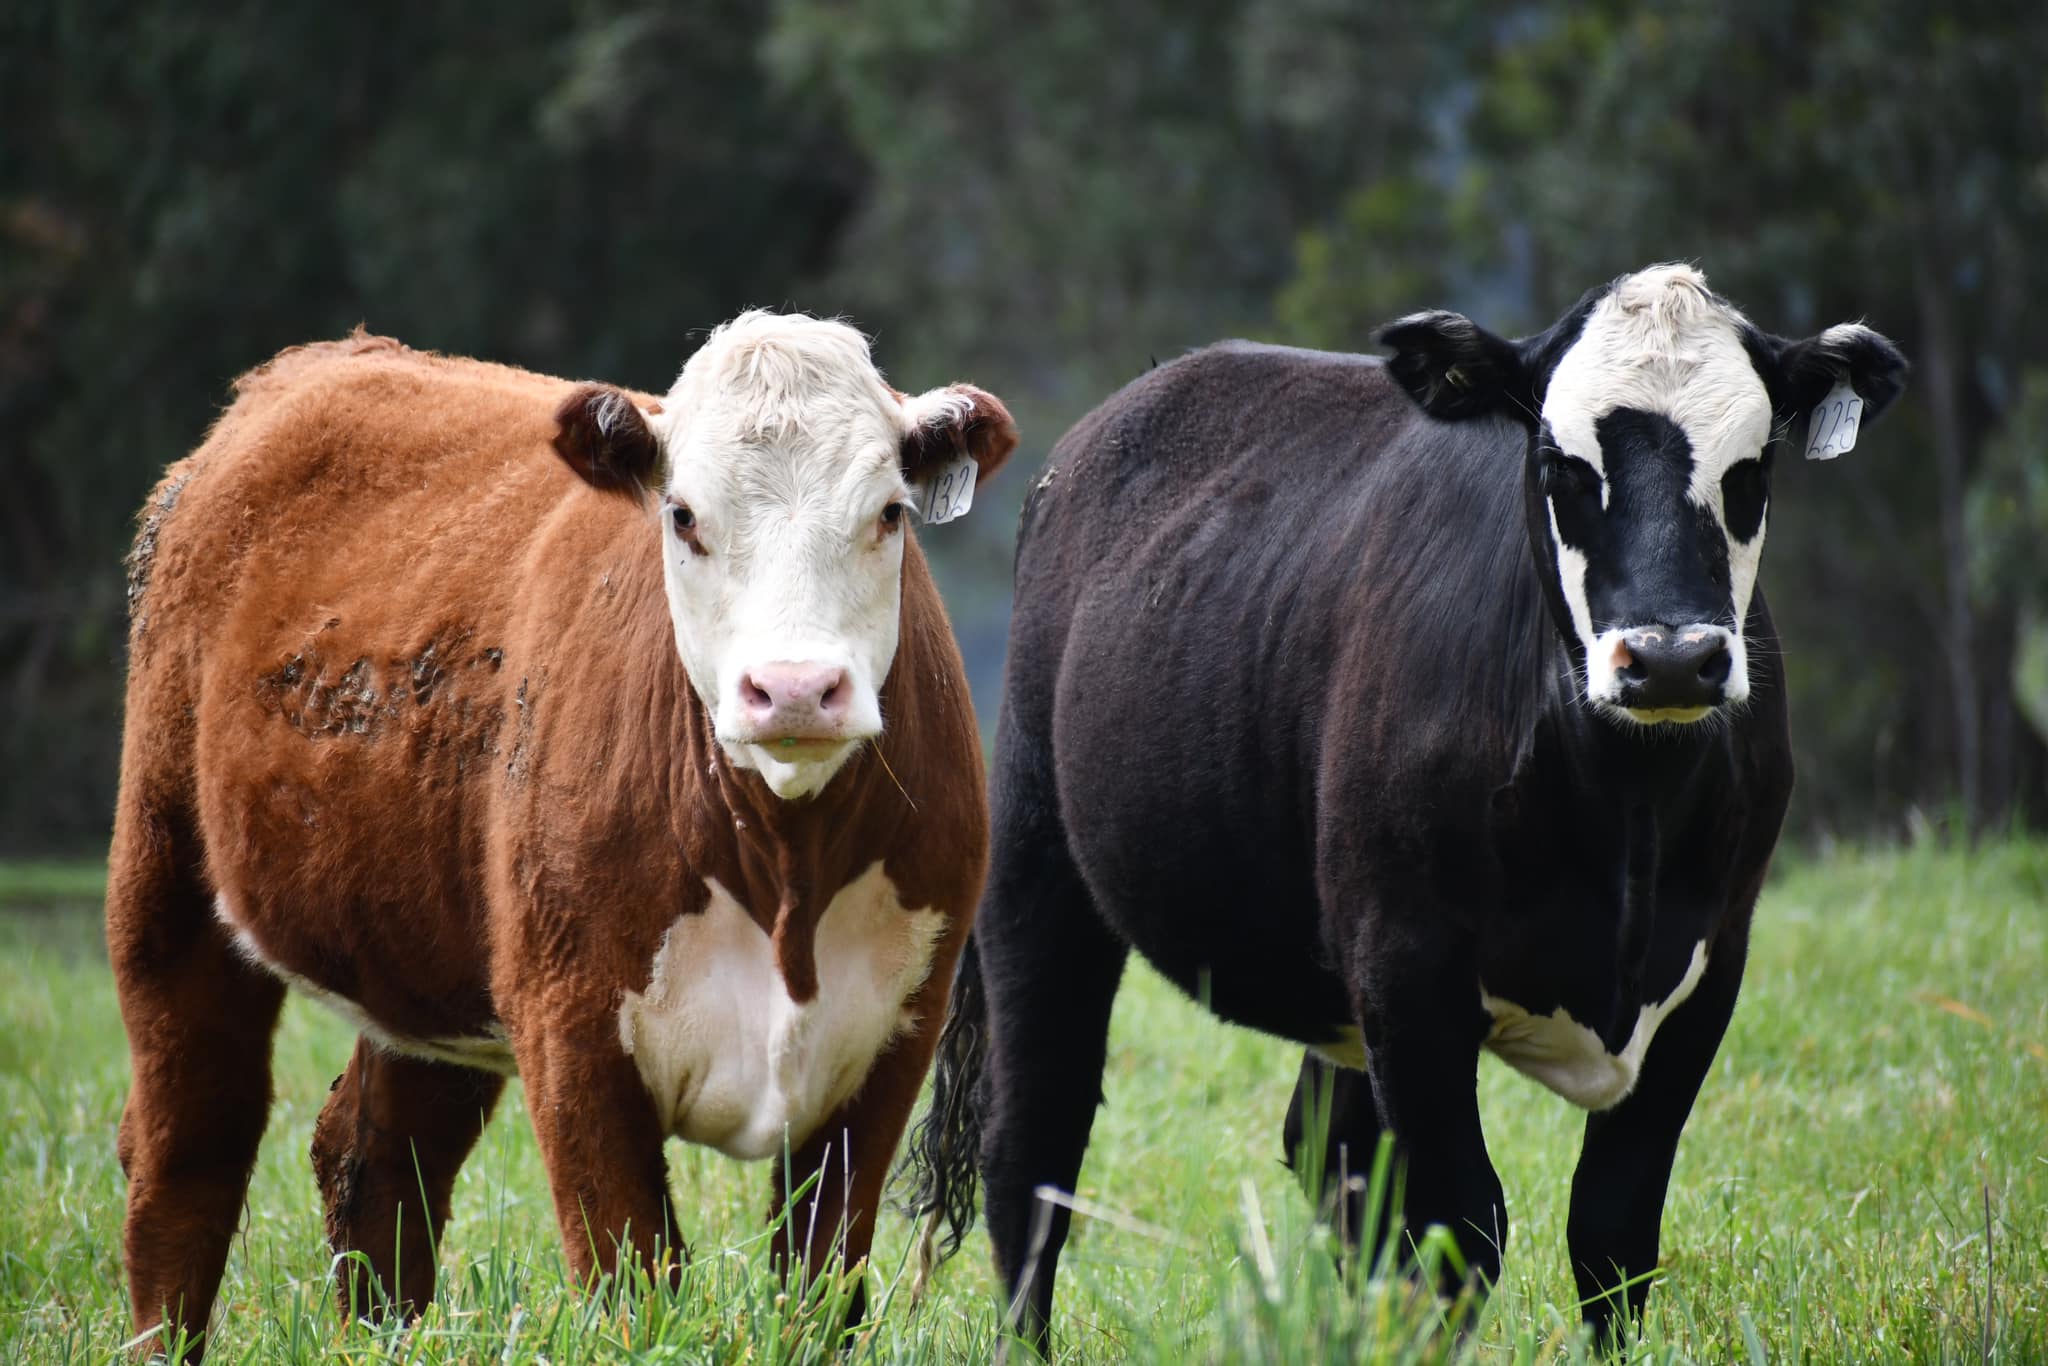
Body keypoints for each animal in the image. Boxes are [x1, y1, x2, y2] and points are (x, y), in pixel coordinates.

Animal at [107, 312, 1015, 1355]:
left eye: (890, 514)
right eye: (683, 516)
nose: (793, 689)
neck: (785, 871)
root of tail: (320, 362)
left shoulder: (895, 1041)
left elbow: (819, 1292)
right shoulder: (570, 1030)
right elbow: (632, 1284)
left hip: (424, 957)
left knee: (378, 1156)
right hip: (166, 878)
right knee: (189, 1144)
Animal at [902, 264, 1906, 1353]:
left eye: (1751, 466)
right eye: (1558, 463)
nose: (1671, 658)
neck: (1624, 812)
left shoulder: (1709, 965)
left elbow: (1611, 1229)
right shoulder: (1408, 965)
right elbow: (1460, 1227)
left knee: (1327, 1155)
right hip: (1036, 864)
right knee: (1033, 1147)